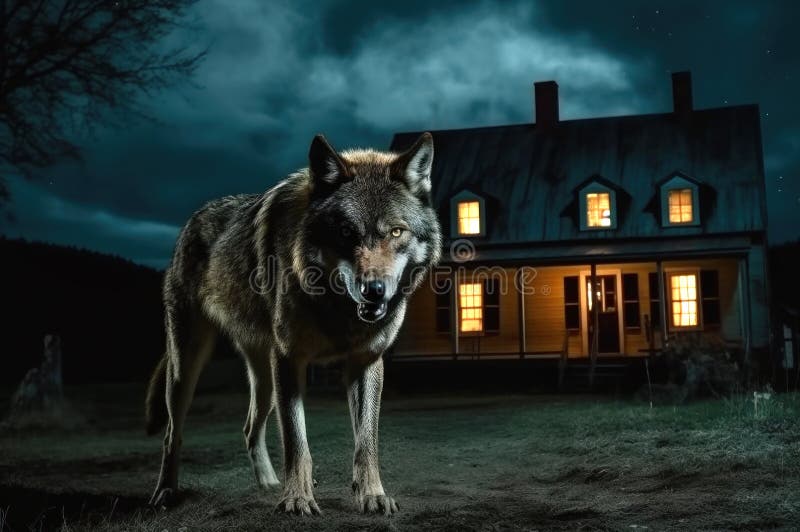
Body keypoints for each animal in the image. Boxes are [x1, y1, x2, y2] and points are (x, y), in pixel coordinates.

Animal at [144, 132, 441, 515]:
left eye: (396, 232)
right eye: (346, 232)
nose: (373, 290)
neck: (337, 309)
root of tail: (191, 221)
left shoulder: (365, 363)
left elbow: (366, 443)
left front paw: (372, 495)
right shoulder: (289, 361)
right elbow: (296, 443)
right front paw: (298, 499)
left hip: (264, 382)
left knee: (249, 428)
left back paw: (269, 484)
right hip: (187, 370)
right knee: (172, 434)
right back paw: (166, 491)